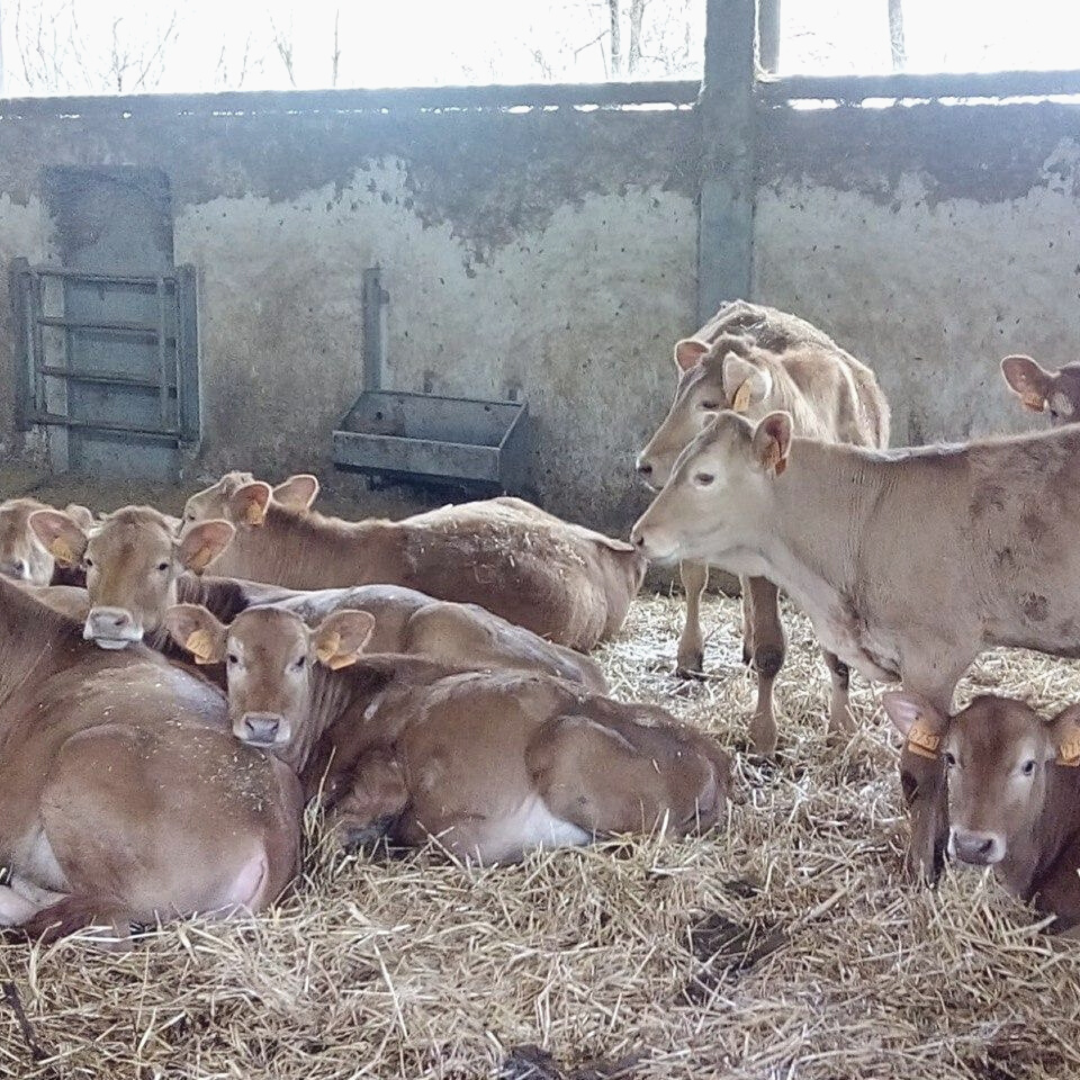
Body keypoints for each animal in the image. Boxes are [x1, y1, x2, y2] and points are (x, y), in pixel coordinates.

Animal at [165, 604, 731, 864]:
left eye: (301, 660)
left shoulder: (388, 771)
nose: (262, 723)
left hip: (568, 744)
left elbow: (330, 828)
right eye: (233, 657)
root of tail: (714, 752)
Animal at [635, 300, 889, 753]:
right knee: (697, 580)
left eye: (709, 403)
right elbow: (772, 646)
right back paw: (692, 654)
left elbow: (837, 652)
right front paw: (763, 736)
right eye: (680, 397)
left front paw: (841, 727)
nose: (644, 463)